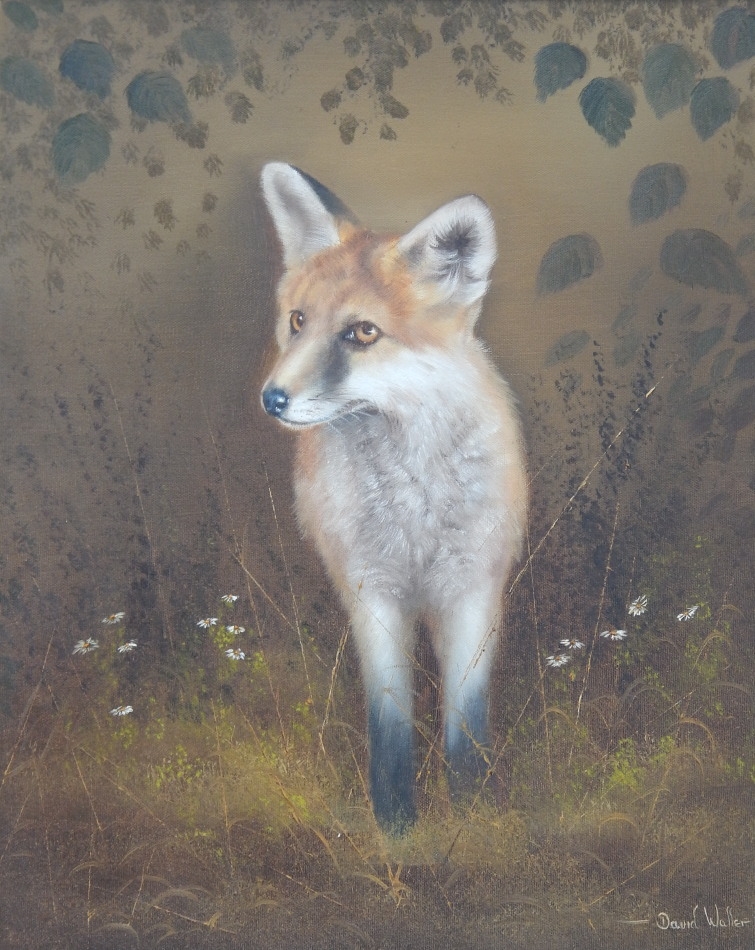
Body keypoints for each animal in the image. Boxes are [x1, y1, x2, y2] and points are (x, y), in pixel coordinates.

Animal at [260, 162, 527, 833]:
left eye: (363, 333)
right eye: (298, 321)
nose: (272, 399)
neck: (415, 510)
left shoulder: (474, 591)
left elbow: (465, 723)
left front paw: (474, 819)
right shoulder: (372, 593)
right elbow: (390, 723)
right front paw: (397, 826)